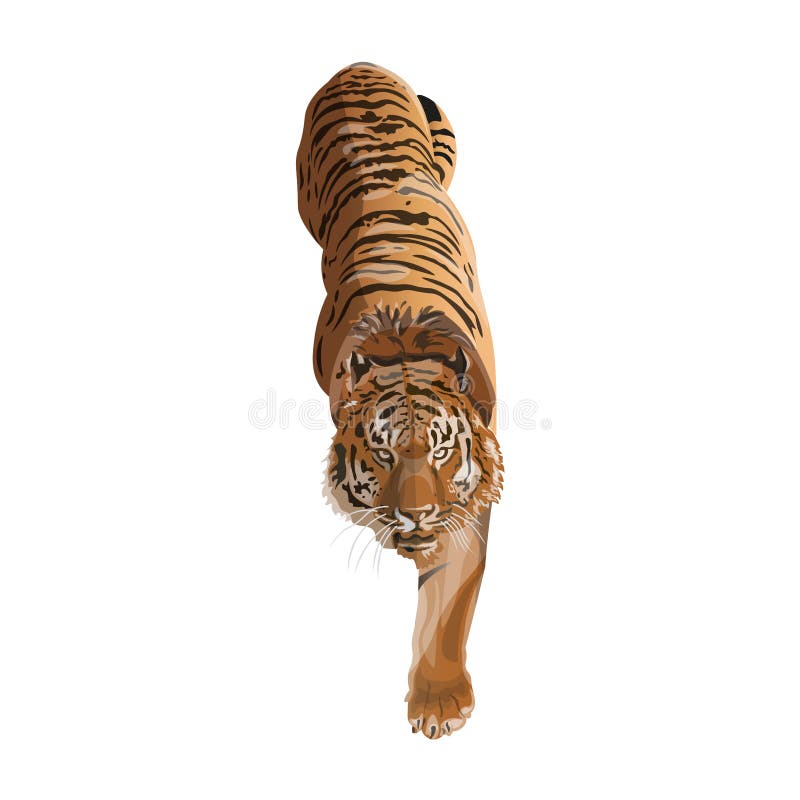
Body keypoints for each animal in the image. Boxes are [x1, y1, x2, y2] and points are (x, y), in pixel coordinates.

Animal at [296, 62, 503, 739]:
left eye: (440, 452)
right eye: (383, 454)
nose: (414, 517)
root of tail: (356, 64)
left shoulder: (467, 506)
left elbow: (447, 604)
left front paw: (439, 702)